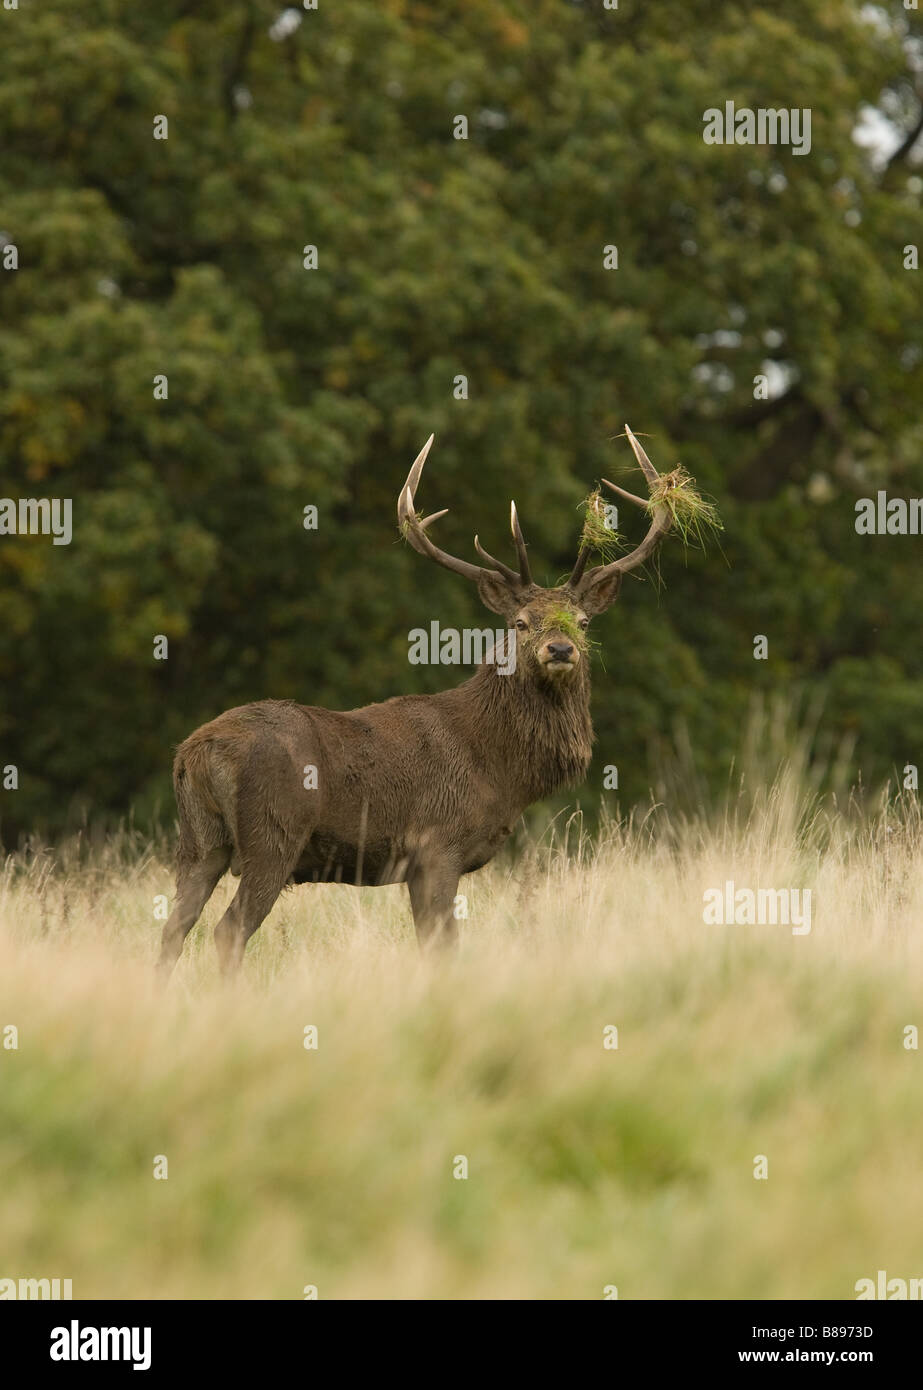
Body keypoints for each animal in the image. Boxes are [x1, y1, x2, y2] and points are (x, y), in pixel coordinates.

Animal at [157, 425, 679, 975]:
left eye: (582, 622)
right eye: (520, 623)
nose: (560, 649)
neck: (500, 769)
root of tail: (193, 753)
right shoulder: (437, 845)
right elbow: (441, 945)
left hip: (198, 842)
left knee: (173, 929)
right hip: (272, 832)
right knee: (228, 930)